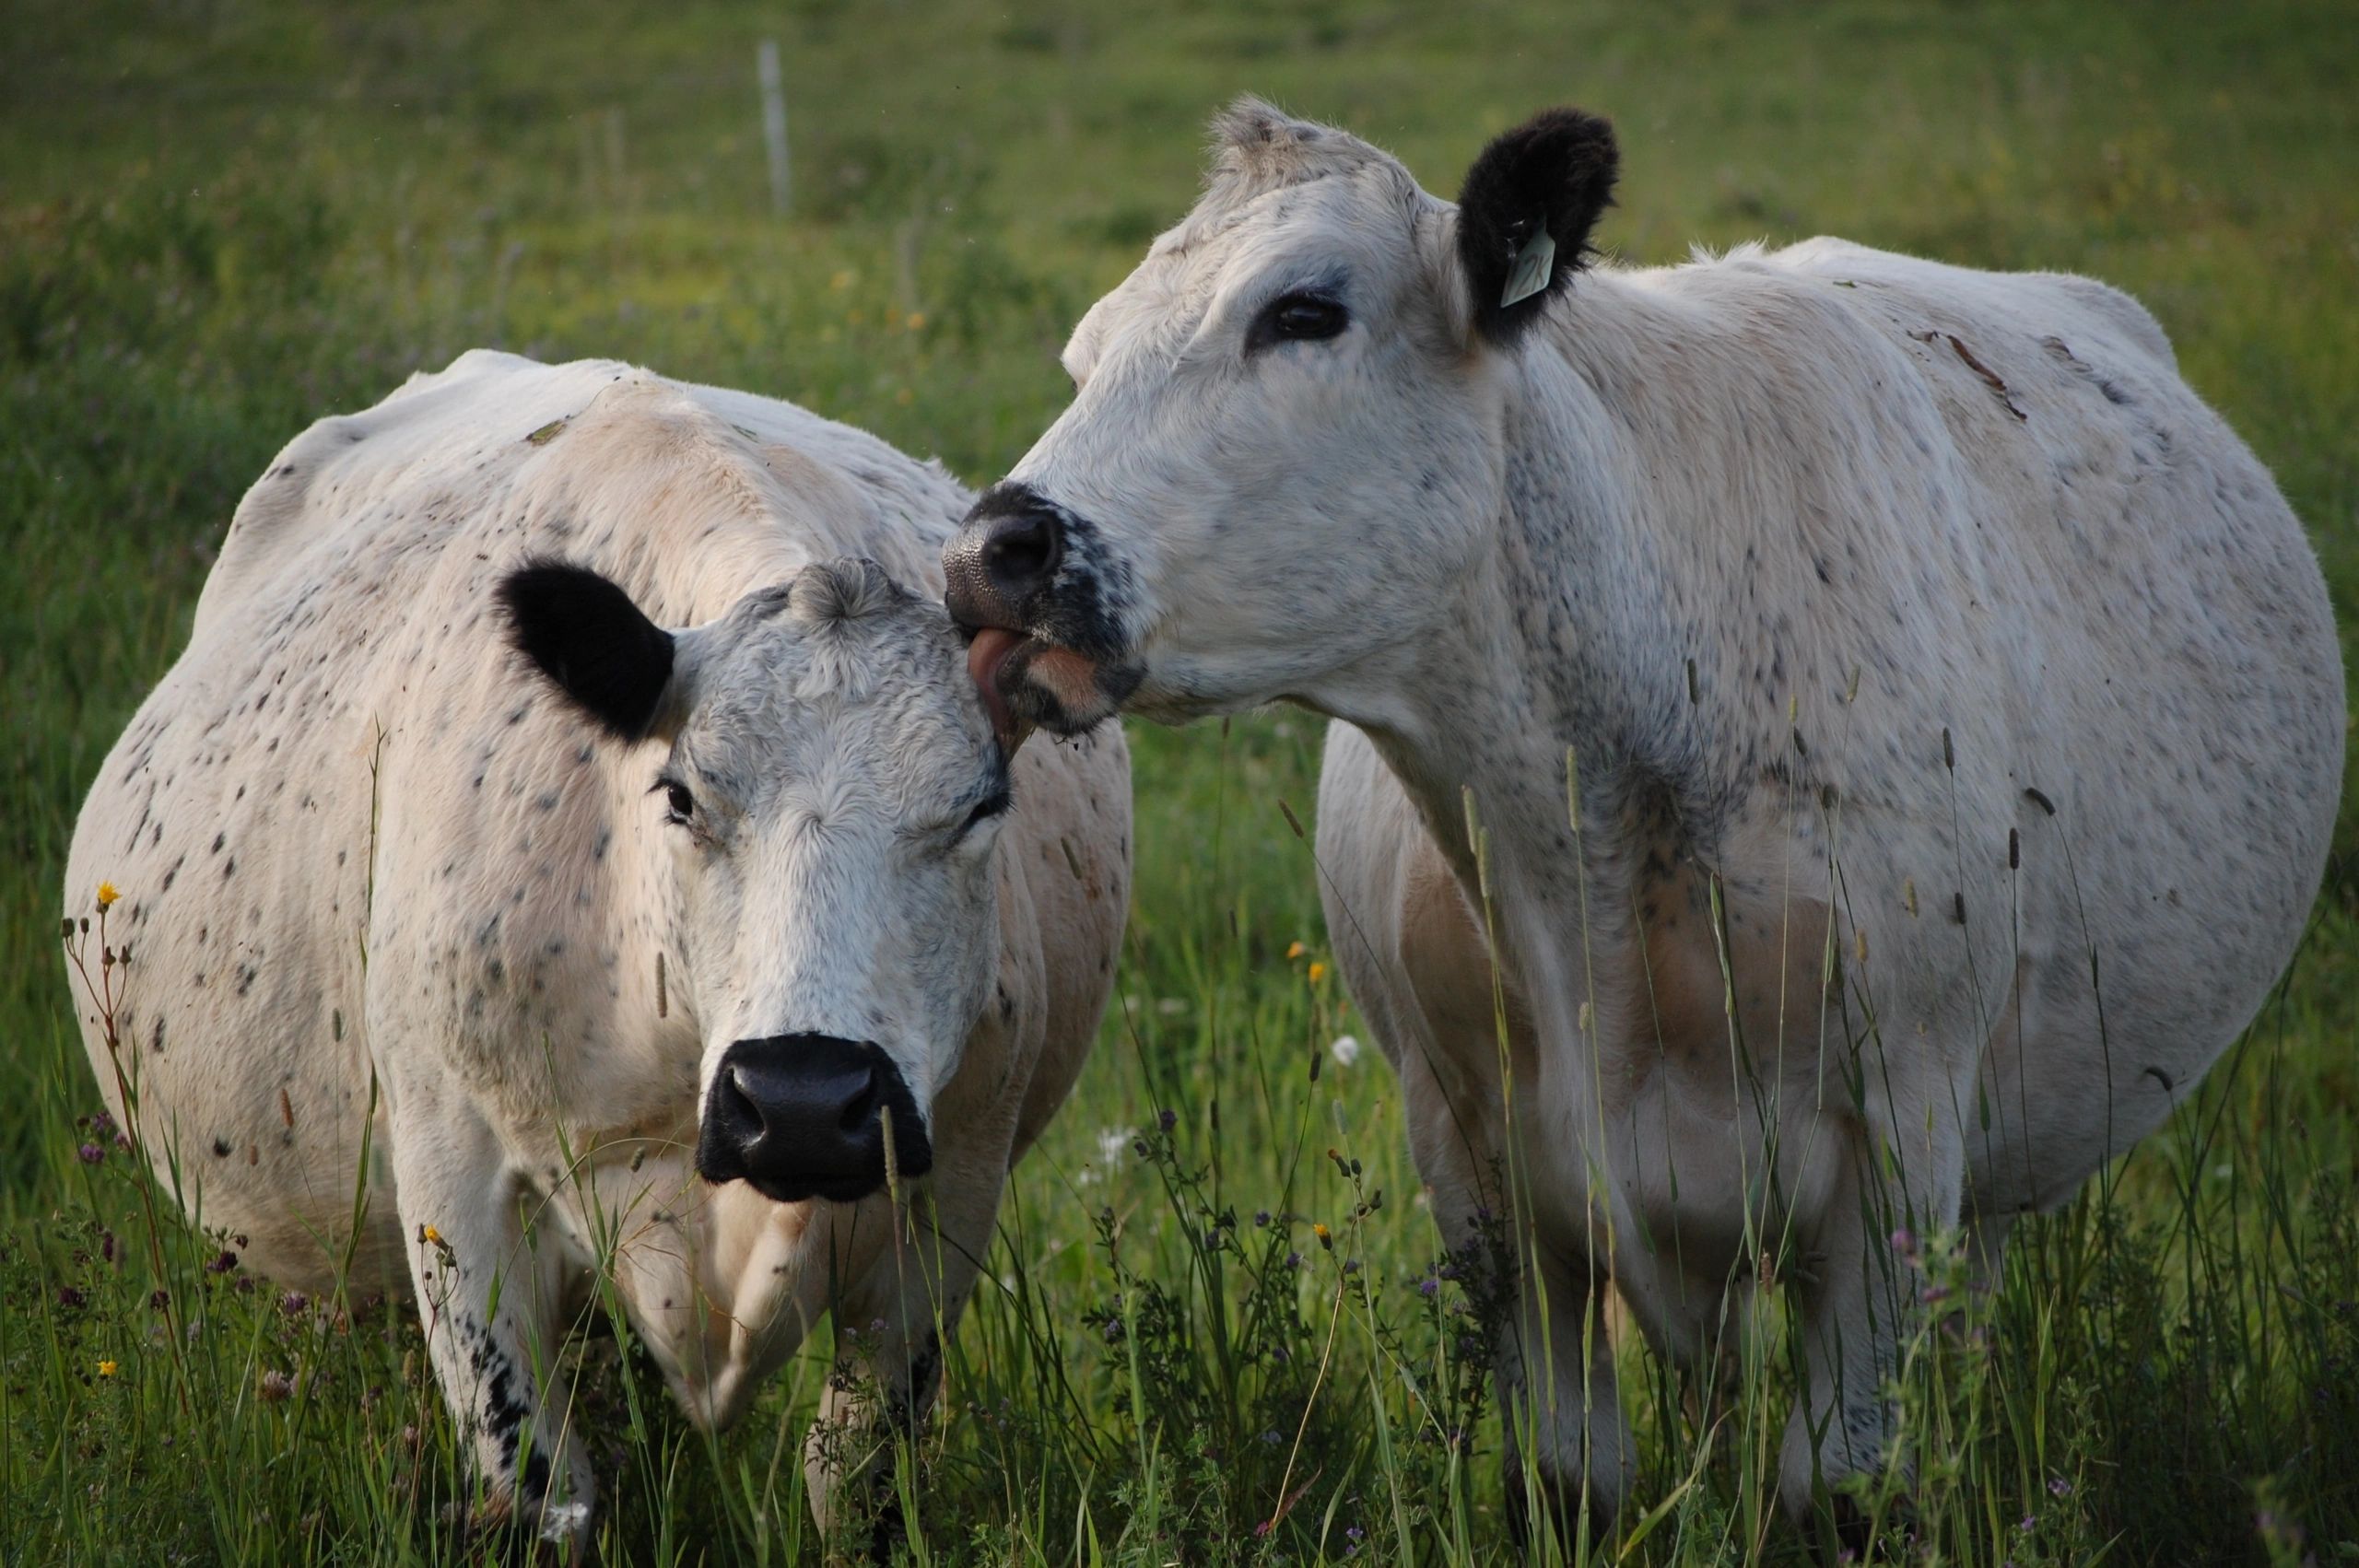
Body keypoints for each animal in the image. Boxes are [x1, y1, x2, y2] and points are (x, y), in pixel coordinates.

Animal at [63, 349, 1132, 1547]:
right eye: (681, 796)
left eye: (982, 805)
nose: (803, 1100)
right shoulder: (459, 1200)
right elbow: (546, 1494)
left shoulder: (945, 1204)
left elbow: (852, 1489)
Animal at [941, 99, 2344, 1530]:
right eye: (1086, 353)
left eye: (1303, 311)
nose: (993, 551)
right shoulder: (1473, 1151)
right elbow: (1574, 1472)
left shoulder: (1901, 1138)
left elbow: (1837, 1487)